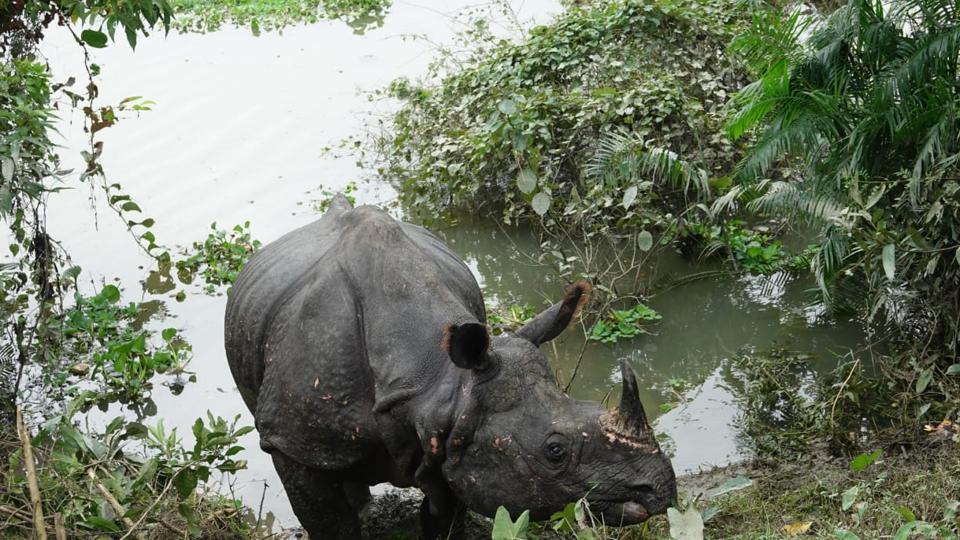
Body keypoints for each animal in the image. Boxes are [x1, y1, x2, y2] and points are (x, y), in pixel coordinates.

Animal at [224, 196, 676, 539]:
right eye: (554, 451)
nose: (660, 488)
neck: (433, 378)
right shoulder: (289, 440)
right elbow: (331, 526)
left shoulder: (456, 429)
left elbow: (444, 519)